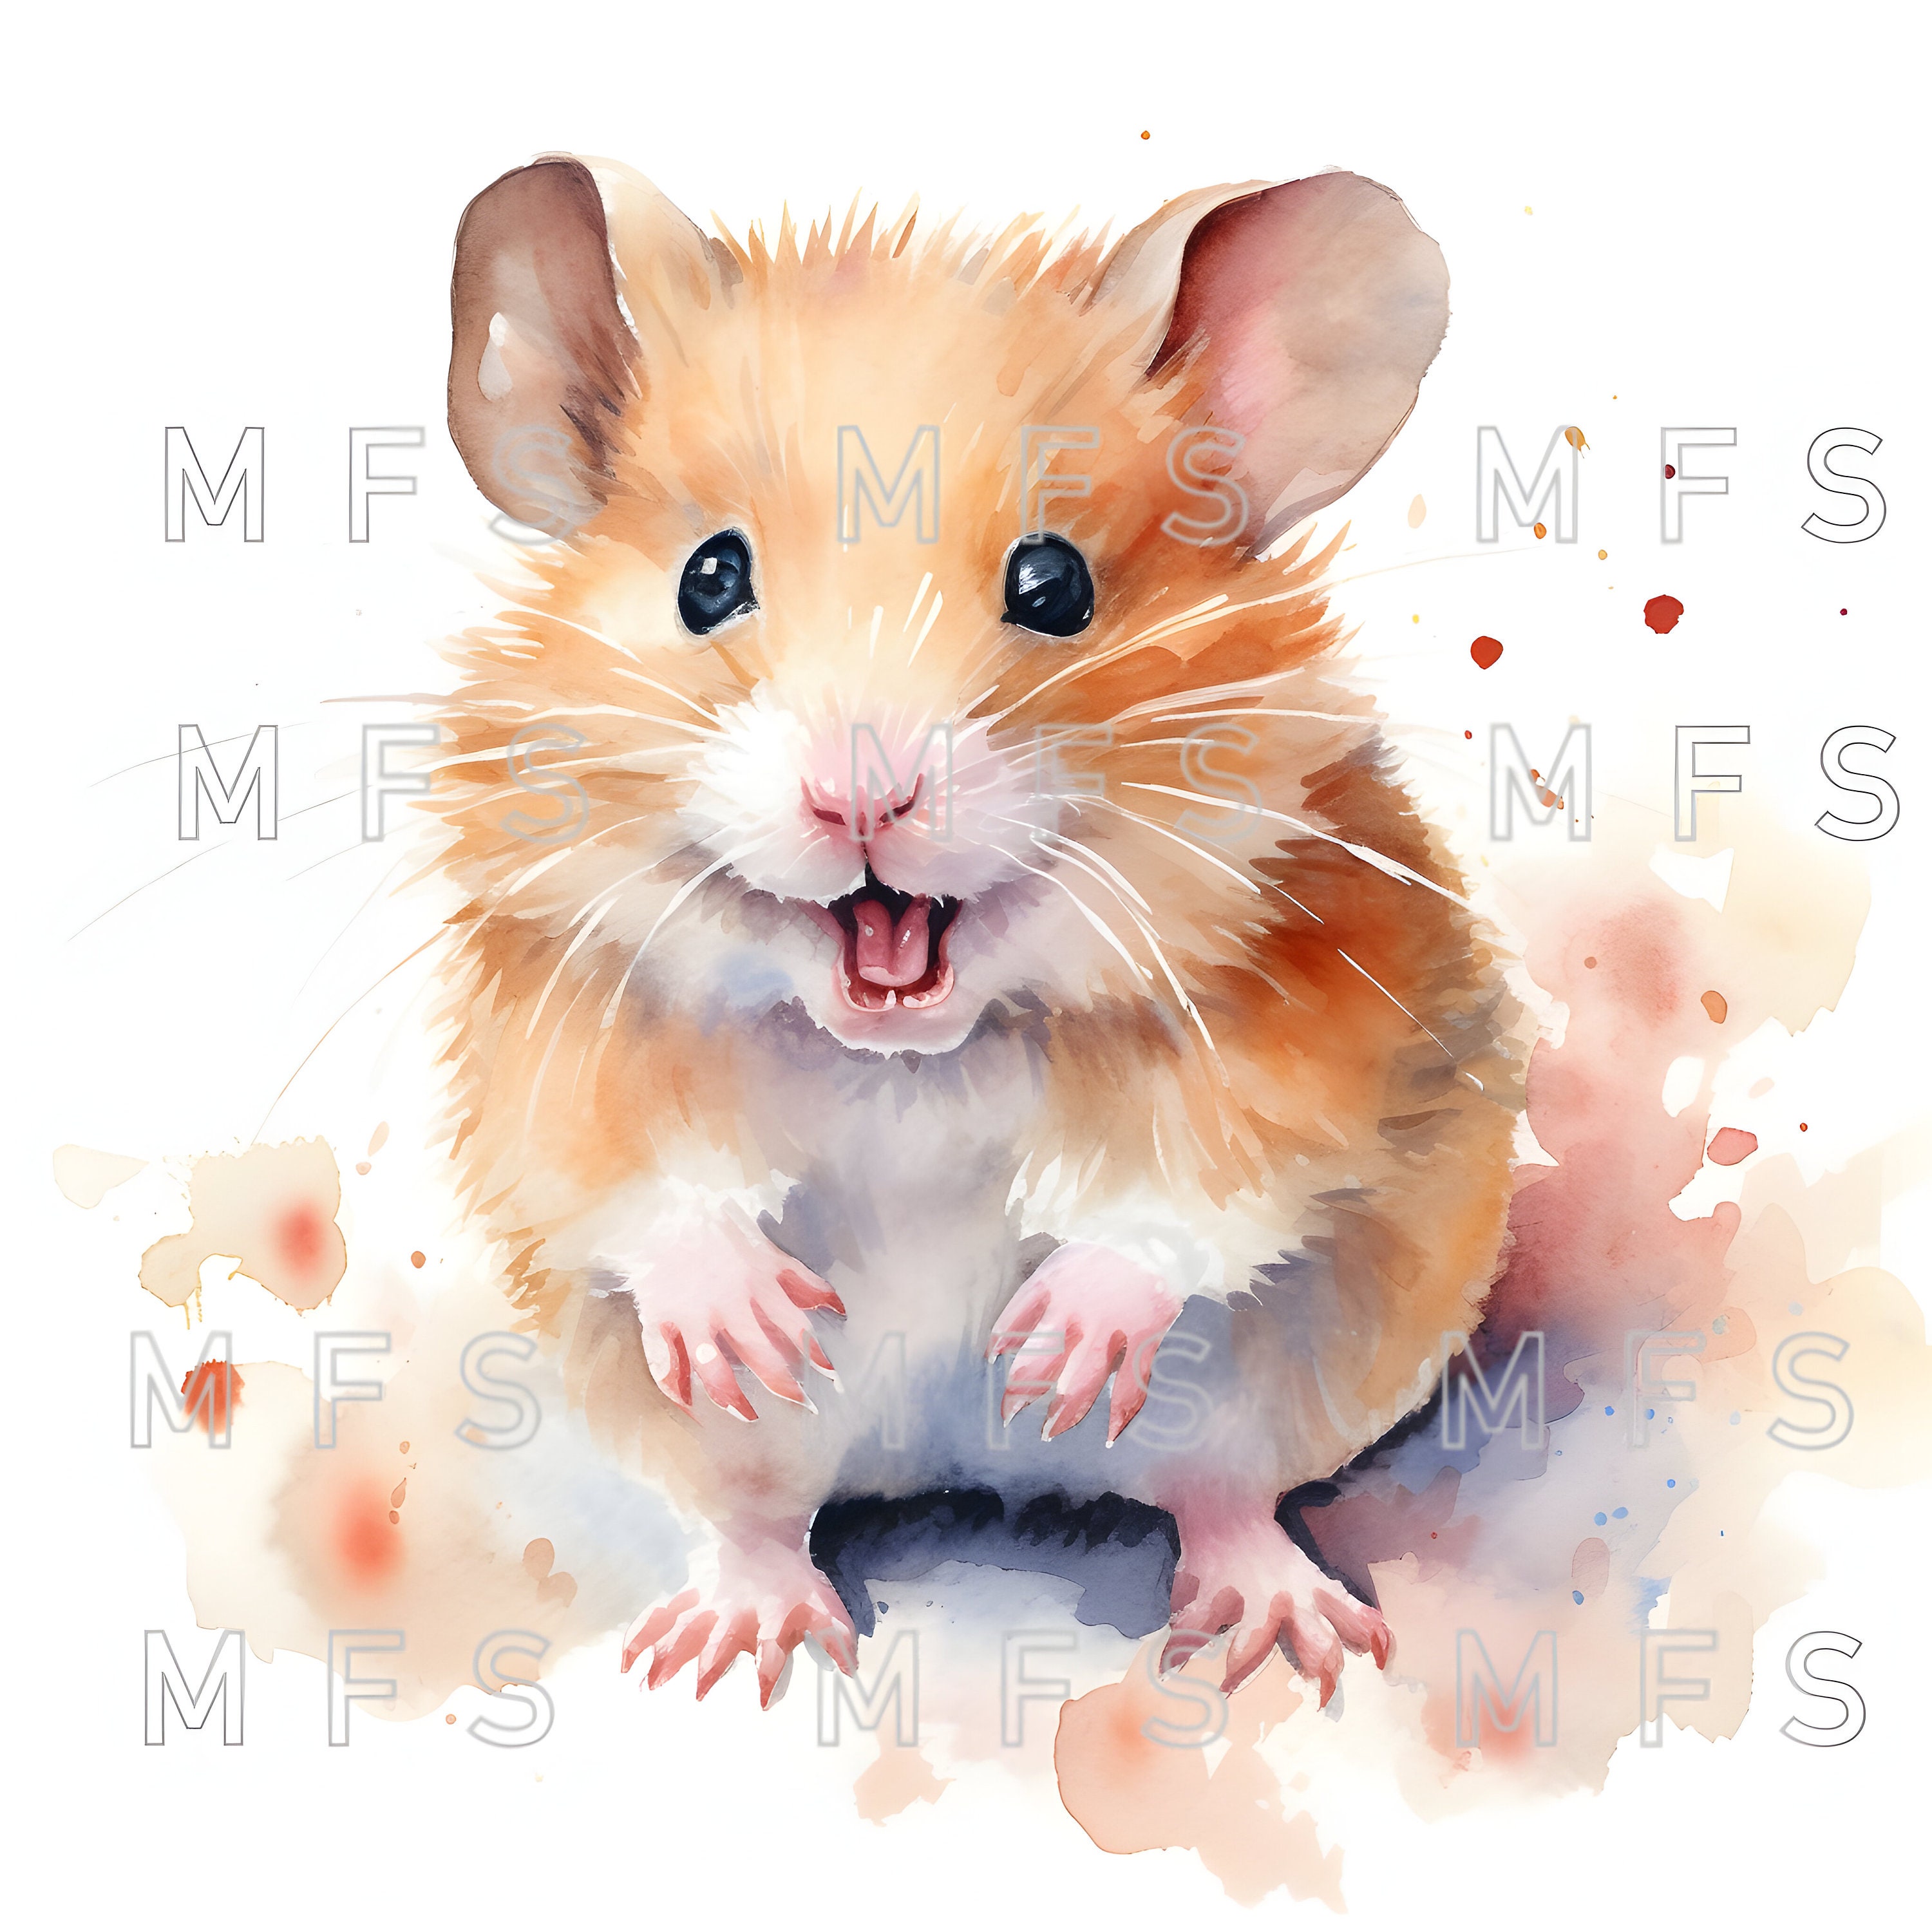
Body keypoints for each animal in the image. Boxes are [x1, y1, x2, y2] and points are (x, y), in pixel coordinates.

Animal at [433, 154, 1521, 1707]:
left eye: (1055, 584)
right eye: (709, 577)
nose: (862, 794)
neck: (912, 1058)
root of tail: (962, 1476)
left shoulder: (1314, 1011)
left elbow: (1201, 1187)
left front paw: (1050, 1350)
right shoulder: (564, 1020)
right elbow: (638, 1180)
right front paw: (756, 1325)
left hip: (1278, 1389)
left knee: (1222, 1497)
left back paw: (1273, 1628)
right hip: (706, 1439)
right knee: (758, 1517)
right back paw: (733, 1644)